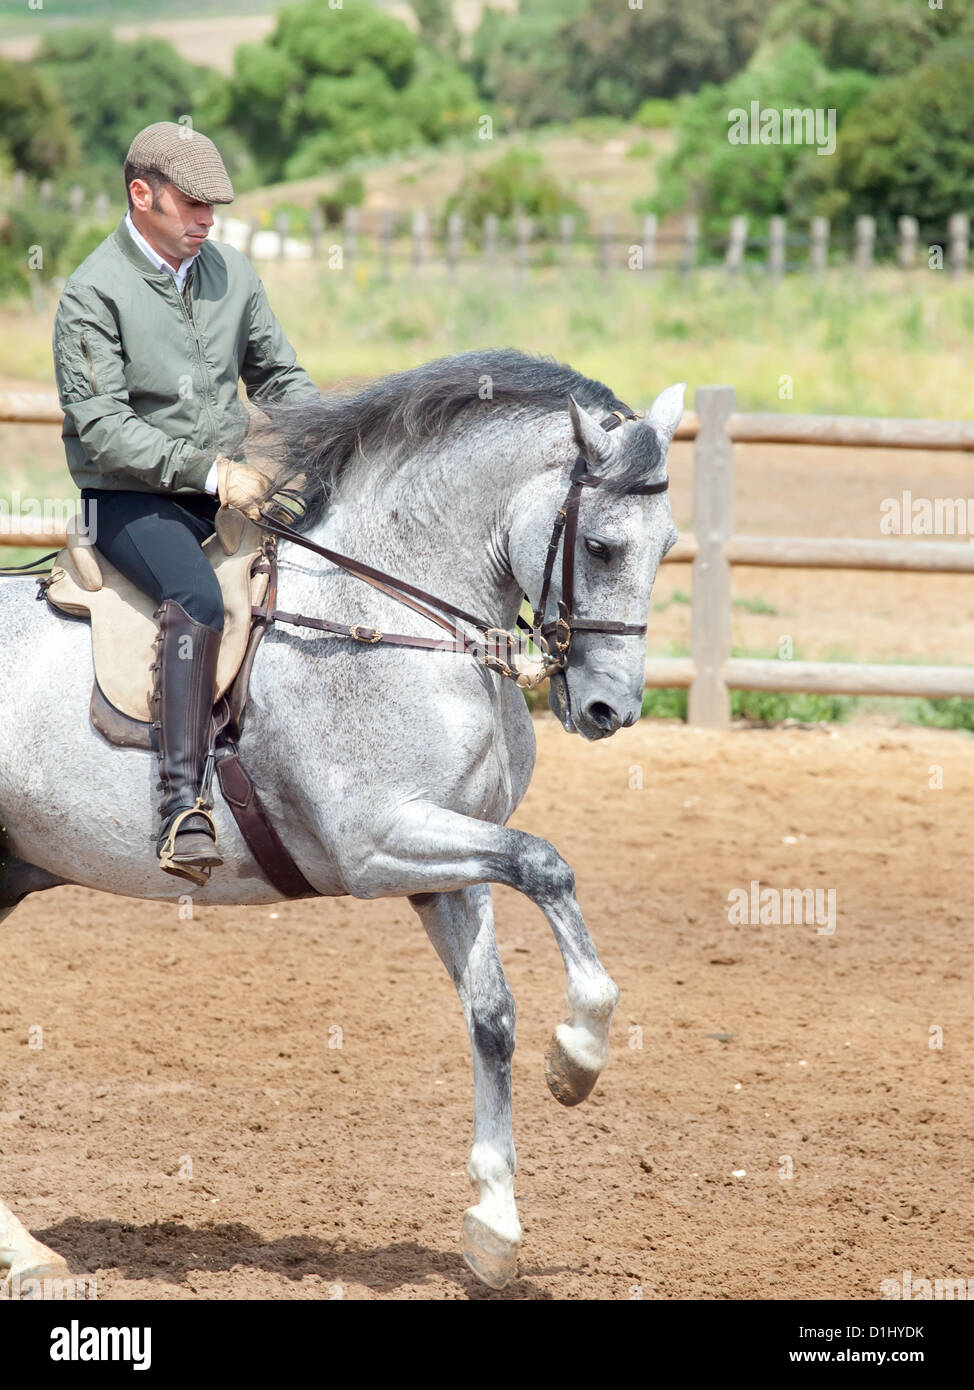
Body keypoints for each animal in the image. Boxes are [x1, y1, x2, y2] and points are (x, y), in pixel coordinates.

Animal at [0, 348, 683, 1291]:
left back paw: (27, 1252)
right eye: (602, 545)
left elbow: (492, 1014)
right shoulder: (377, 846)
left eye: (668, 546)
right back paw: (26, 1254)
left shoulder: (453, 856)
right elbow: (549, 864)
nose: (612, 711)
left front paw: (494, 1226)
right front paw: (579, 1053)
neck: (394, 618)